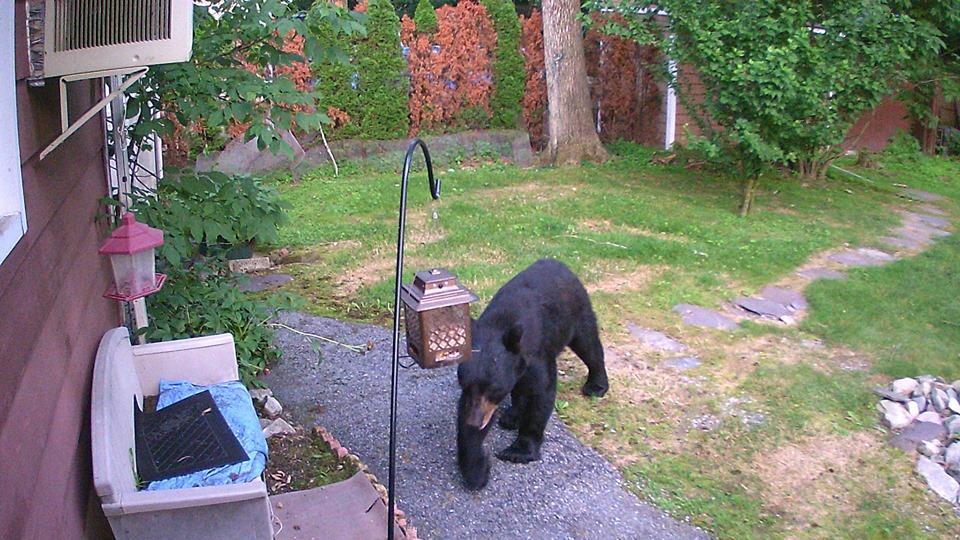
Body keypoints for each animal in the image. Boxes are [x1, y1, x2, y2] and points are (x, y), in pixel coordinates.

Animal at [456, 258, 609, 490]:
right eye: (463, 384)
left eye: (495, 389)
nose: (475, 421)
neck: (499, 326)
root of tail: (558, 263)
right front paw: (476, 469)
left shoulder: (536, 355)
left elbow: (541, 395)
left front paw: (518, 451)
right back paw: (511, 416)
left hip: (577, 311)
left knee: (589, 344)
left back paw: (597, 385)